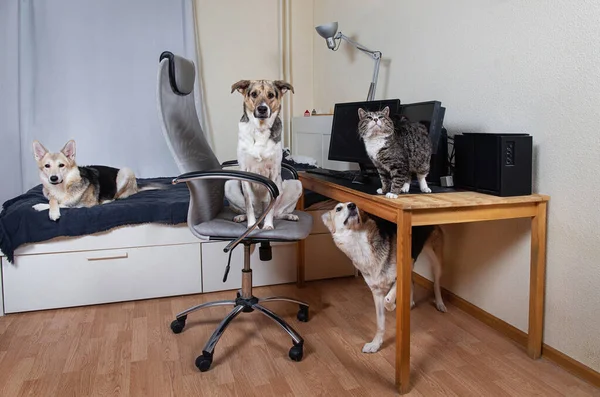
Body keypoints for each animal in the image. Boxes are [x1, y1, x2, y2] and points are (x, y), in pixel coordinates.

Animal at [224, 79, 302, 229]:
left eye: (271, 95)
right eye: (254, 94)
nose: (262, 109)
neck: (260, 130)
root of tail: (260, 213)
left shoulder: (274, 172)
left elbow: (270, 207)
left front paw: (268, 226)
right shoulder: (245, 172)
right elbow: (248, 204)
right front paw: (251, 226)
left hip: (296, 184)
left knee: (278, 213)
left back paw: (289, 216)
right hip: (229, 184)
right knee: (248, 210)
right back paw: (242, 217)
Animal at [324, 203, 446, 352]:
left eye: (354, 205)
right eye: (338, 209)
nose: (353, 205)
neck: (359, 243)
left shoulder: (401, 272)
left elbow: (388, 299)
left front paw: (392, 306)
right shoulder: (376, 292)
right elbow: (380, 324)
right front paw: (376, 344)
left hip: (435, 260)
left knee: (436, 283)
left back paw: (439, 303)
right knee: (412, 281)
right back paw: (410, 303)